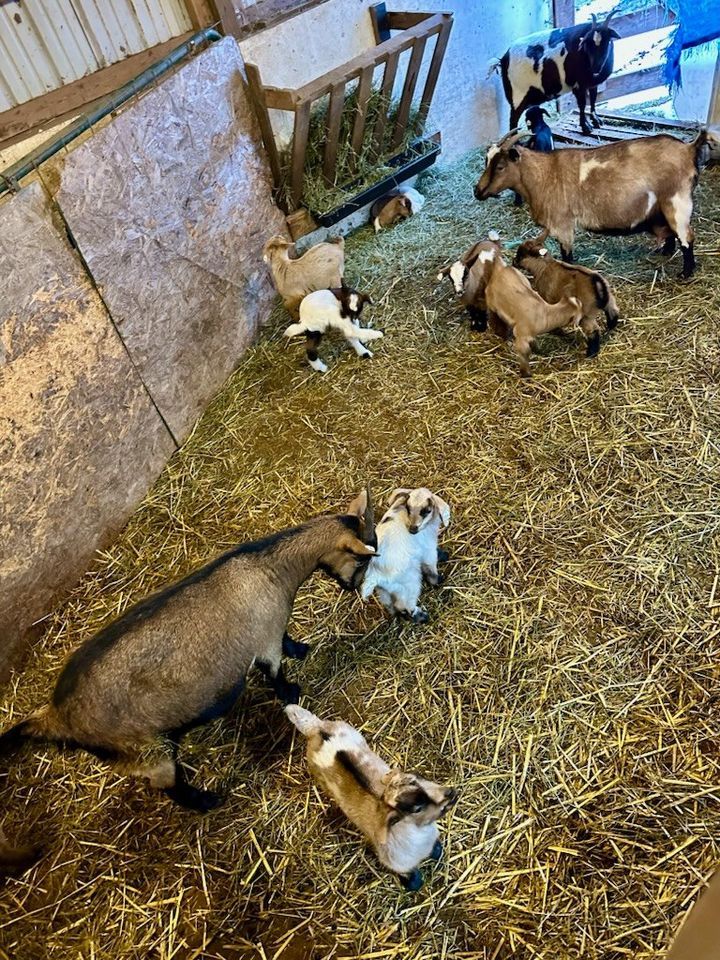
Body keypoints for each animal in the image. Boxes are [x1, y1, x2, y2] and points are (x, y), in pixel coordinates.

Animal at [0, 490, 377, 853]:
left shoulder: (270, 634)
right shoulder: (265, 640)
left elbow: (287, 644)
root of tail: (57, 717)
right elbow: (276, 673)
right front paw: (292, 691)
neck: (269, 568)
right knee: (173, 788)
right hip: (148, 754)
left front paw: (301, 650)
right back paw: (207, 800)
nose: (356, 590)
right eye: (363, 557)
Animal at [286, 704, 458, 890]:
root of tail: (316, 728)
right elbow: (414, 880)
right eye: (416, 808)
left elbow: (437, 851)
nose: (451, 794)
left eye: (419, 777)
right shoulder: (397, 864)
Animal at [361, 487, 450, 624]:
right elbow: (431, 569)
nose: (412, 529)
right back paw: (422, 617)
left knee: (392, 607)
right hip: (409, 584)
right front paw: (439, 578)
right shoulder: (428, 550)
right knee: (404, 606)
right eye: (408, 508)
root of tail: (375, 576)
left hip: (385, 592)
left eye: (426, 511)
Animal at [475, 127, 714, 278]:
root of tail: (688, 148)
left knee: (686, 237)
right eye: (486, 161)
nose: (477, 192)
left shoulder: (563, 224)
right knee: (671, 232)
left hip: (677, 202)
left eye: (500, 166)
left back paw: (685, 273)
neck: (544, 175)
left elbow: (567, 256)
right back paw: (664, 252)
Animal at [491, 11, 620, 136]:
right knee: (513, 119)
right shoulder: (578, 85)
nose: (595, 68)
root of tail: (503, 59)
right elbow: (582, 104)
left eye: (606, 42)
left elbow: (593, 99)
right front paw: (586, 127)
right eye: (587, 44)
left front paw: (596, 120)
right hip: (517, 94)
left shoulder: (591, 83)